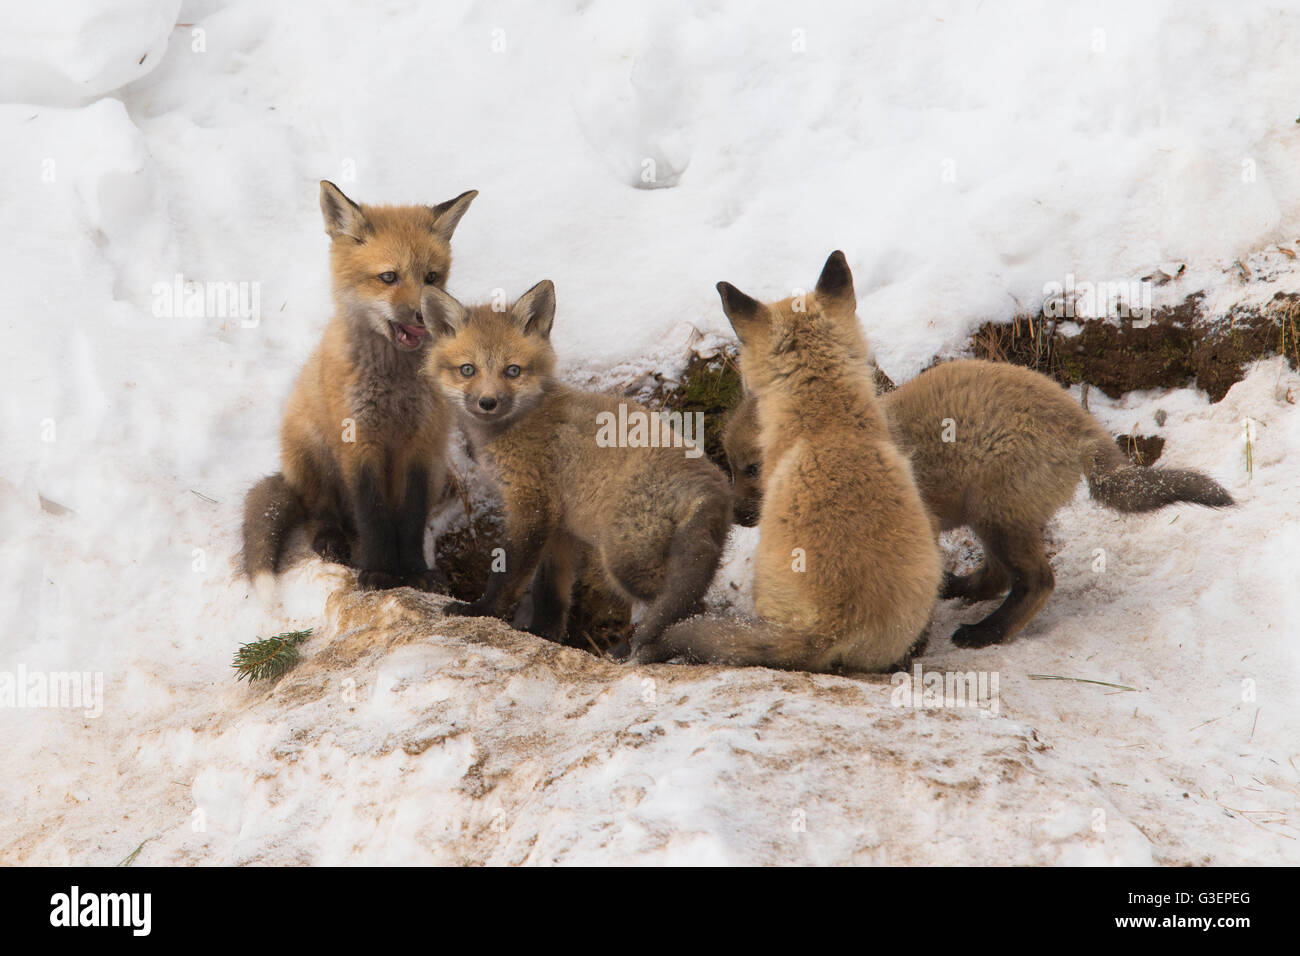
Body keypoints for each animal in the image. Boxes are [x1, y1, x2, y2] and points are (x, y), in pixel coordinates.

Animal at [241, 180, 477, 596]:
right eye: (389, 277)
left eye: (432, 278)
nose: (422, 315)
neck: (393, 385)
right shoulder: (358, 442)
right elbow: (374, 517)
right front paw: (379, 572)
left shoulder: (421, 444)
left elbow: (410, 519)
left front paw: (414, 572)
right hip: (313, 451)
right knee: (321, 511)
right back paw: (331, 539)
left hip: (436, 470)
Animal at [419, 280, 732, 652]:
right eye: (468, 369)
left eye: (513, 370)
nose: (488, 402)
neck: (519, 422)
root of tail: (712, 484)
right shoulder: (560, 527)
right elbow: (551, 594)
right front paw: (544, 635)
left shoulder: (532, 504)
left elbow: (507, 576)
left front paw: (481, 610)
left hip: (625, 560)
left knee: (688, 610)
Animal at [724, 358, 1236, 648]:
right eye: (727, 464)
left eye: (751, 468)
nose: (738, 516)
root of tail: (1084, 428)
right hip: (990, 514)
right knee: (996, 577)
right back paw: (959, 590)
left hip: (998, 514)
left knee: (1035, 581)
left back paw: (987, 633)